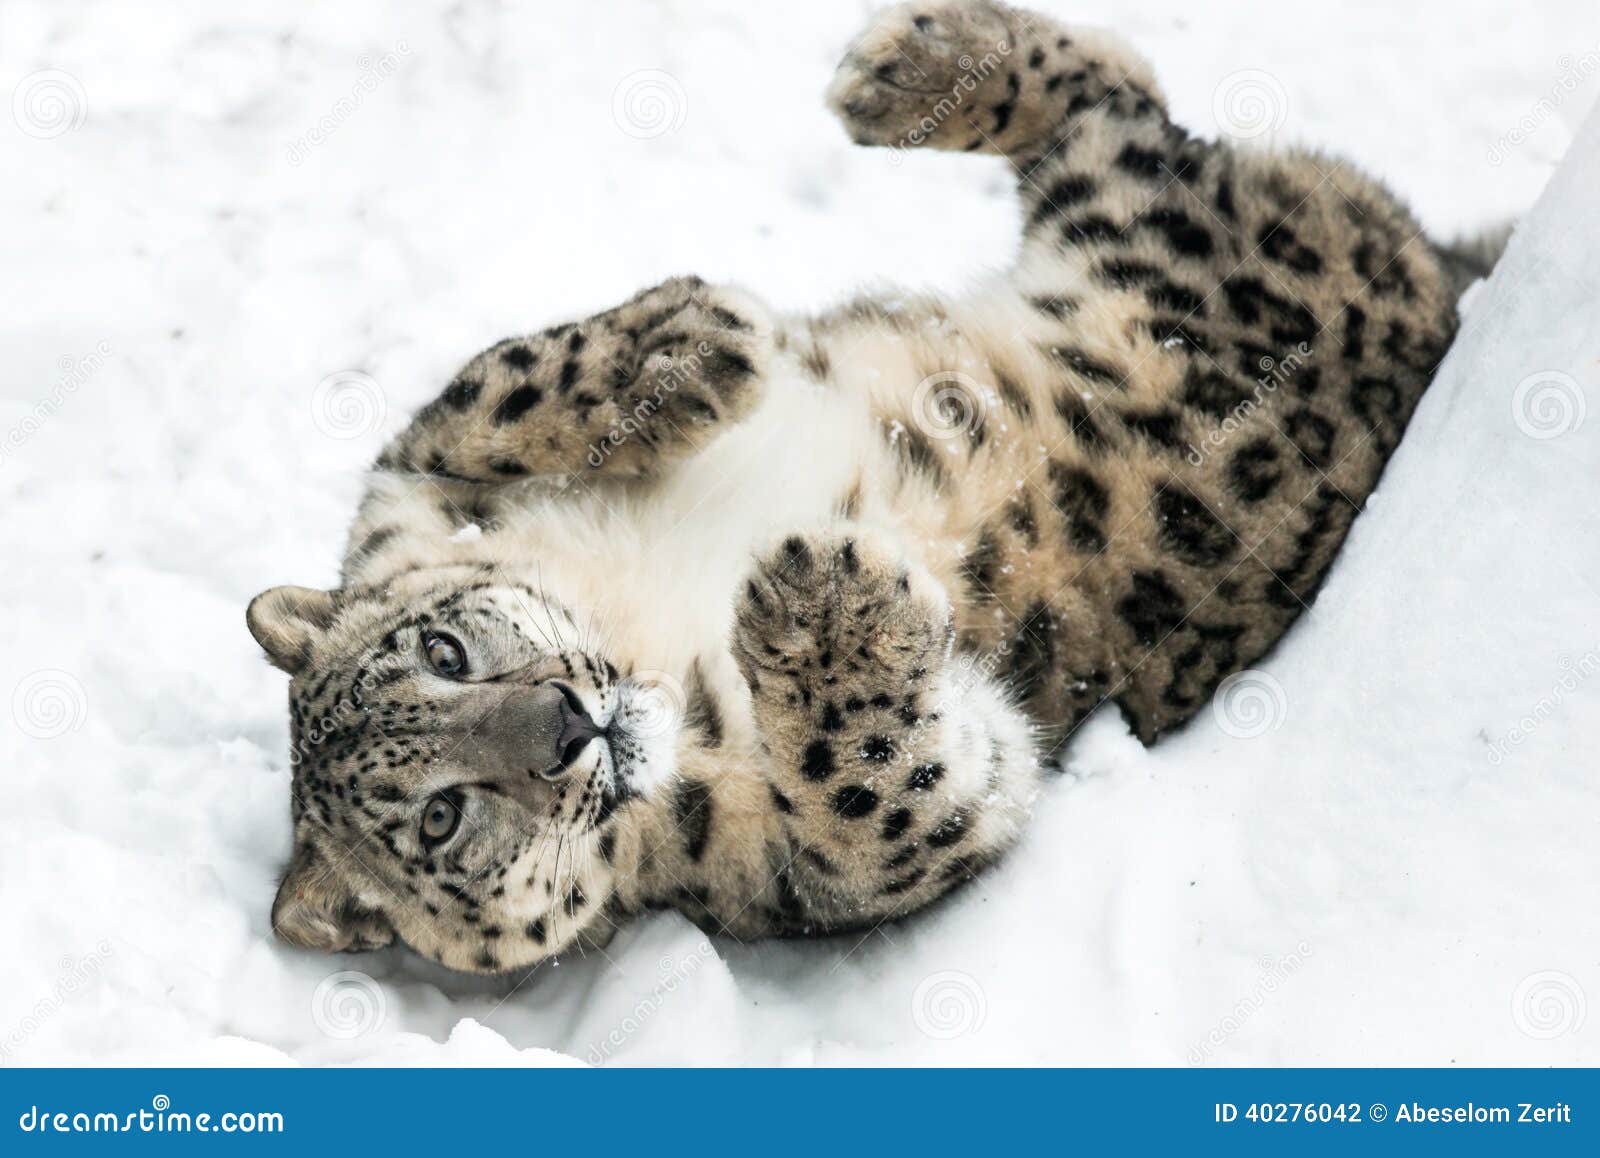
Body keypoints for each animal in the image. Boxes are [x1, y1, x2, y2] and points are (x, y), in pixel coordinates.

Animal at [246, 0, 1499, 974]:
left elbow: (476, 391)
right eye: (441, 817)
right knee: (1128, 113)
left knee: (1122, 102)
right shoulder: (819, 864)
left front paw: (682, 349)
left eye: (444, 650)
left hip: (1160, 223)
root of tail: (1420, 302)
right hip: (1177, 230)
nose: (564, 723)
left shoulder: (402, 492)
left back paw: (909, 69)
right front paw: (820, 606)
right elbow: (882, 795)